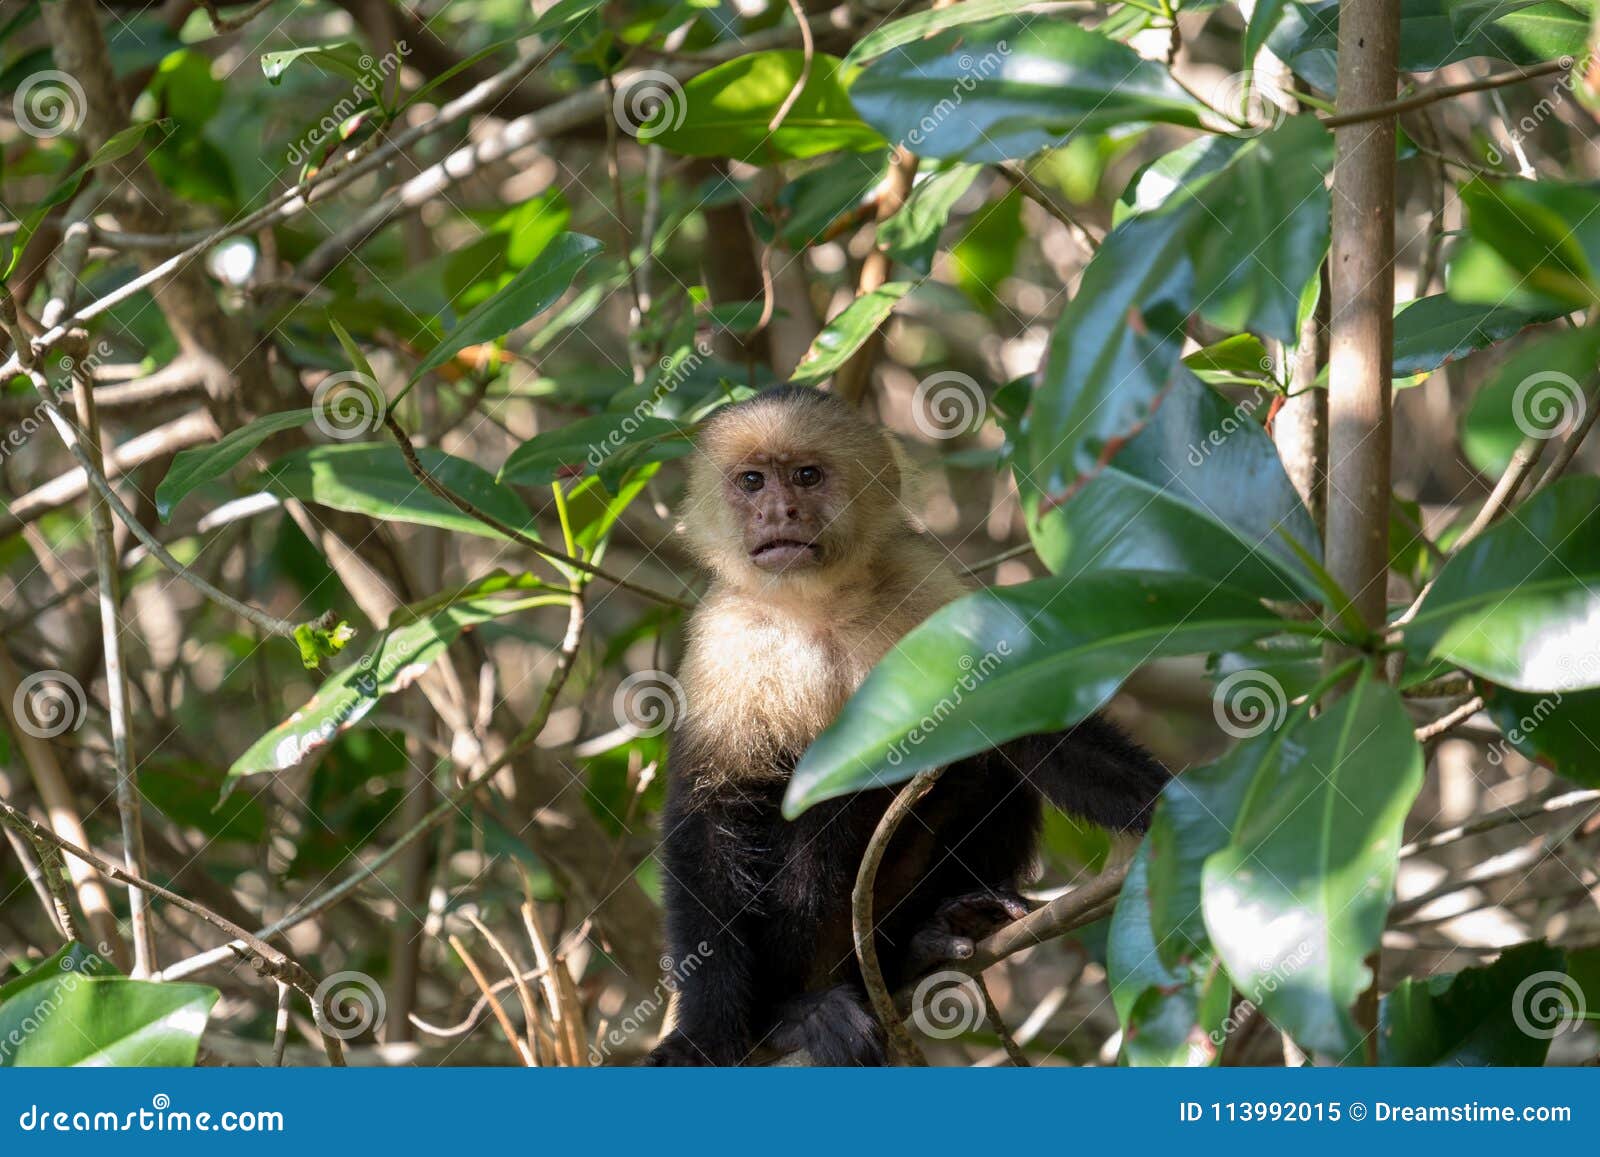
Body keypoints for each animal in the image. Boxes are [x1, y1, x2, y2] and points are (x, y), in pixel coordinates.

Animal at [645, 387, 1169, 1066]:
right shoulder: (724, 635)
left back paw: (926, 939)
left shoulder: (923, 584)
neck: (820, 605)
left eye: (807, 476)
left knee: (980, 767)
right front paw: (703, 1035)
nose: (780, 510)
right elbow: (710, 812)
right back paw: (795, 1012)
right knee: (816, 815)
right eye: (752, 481)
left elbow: (1023, 720)